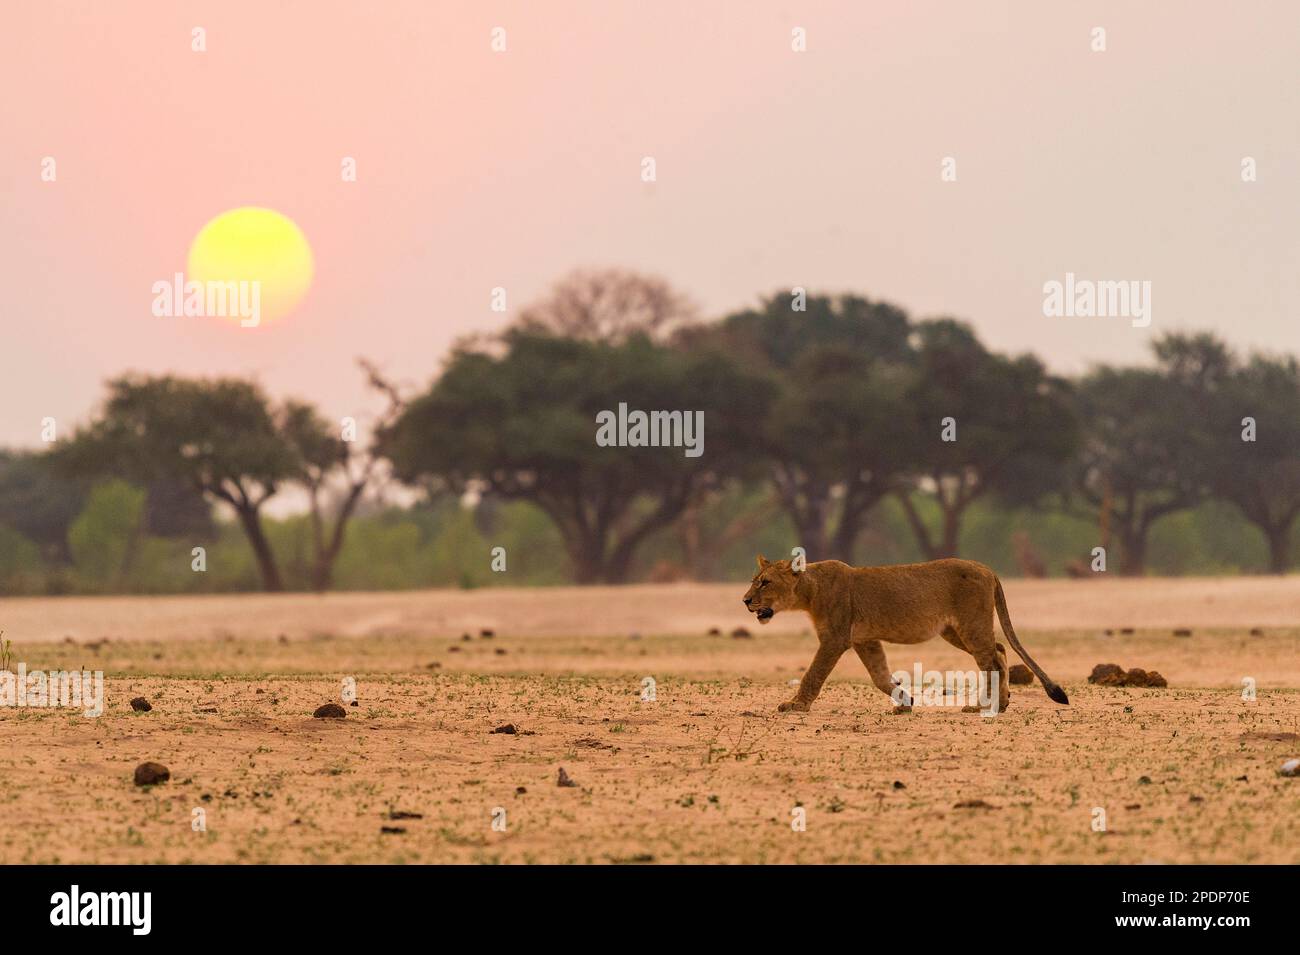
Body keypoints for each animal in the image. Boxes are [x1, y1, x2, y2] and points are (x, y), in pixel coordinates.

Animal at [741, 555, 1069, 713]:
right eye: (755, 580)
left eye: (765, 582)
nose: (745, 600)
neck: (809, 590)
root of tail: (988, 569)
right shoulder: (865, 640)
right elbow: (879, 675)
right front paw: (904, 700)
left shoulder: (835, 639)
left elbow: (813, 673)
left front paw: (796, 705)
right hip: (954, 631)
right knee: (999, 651)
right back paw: (996, 703)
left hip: (970, 625)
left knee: (993, 660)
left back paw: (990, 706)